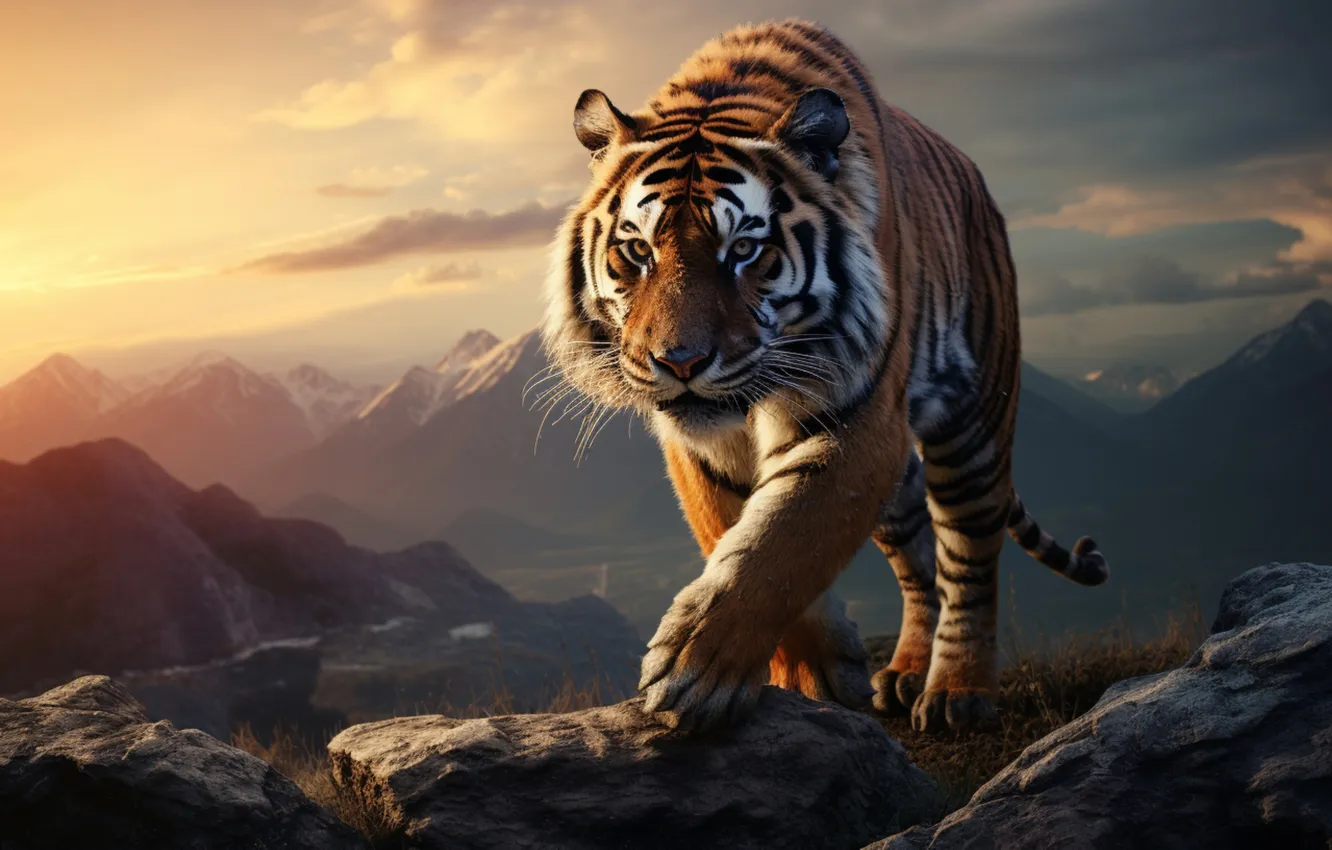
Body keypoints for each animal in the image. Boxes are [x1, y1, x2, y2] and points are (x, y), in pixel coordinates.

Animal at [541, 18, 1109, 734]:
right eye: (637, 249)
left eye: (744, 249)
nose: (681, 363)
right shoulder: (704, 450)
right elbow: (742, 535)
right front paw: (807, 676)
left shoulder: (856, 415)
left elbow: (786, 541)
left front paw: (698, 667)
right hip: (899, 496)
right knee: (921, 568)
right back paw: (903, 673)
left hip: (974, 427)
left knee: (969, 559)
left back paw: (957, 692)